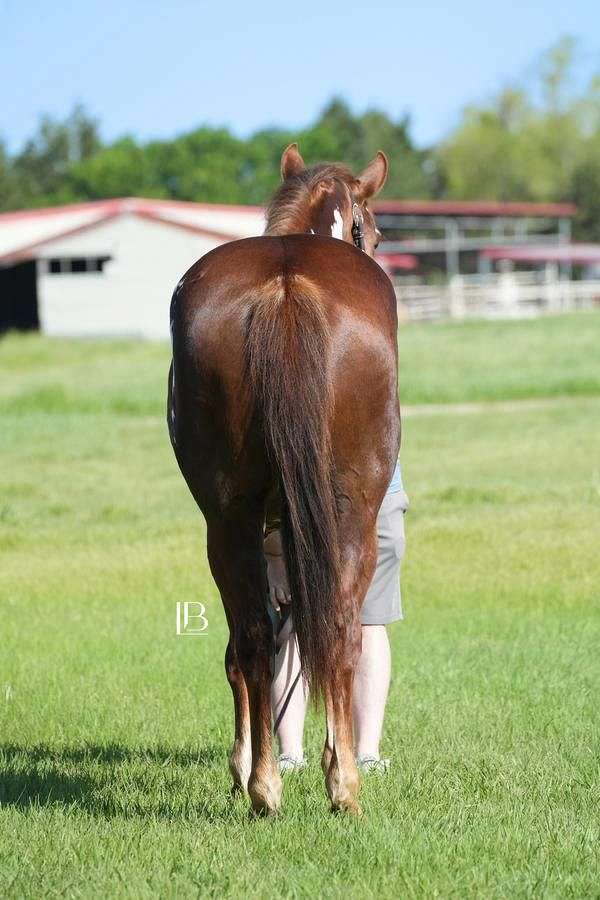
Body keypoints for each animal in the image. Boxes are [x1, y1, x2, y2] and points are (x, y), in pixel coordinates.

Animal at [168, 143, 400, 816]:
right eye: (373, 230)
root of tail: (286, 285)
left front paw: (245, 762)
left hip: (229, 521)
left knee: (254, 635)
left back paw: (266, 785)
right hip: (352, 516)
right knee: (337, 628)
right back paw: (339, 784)